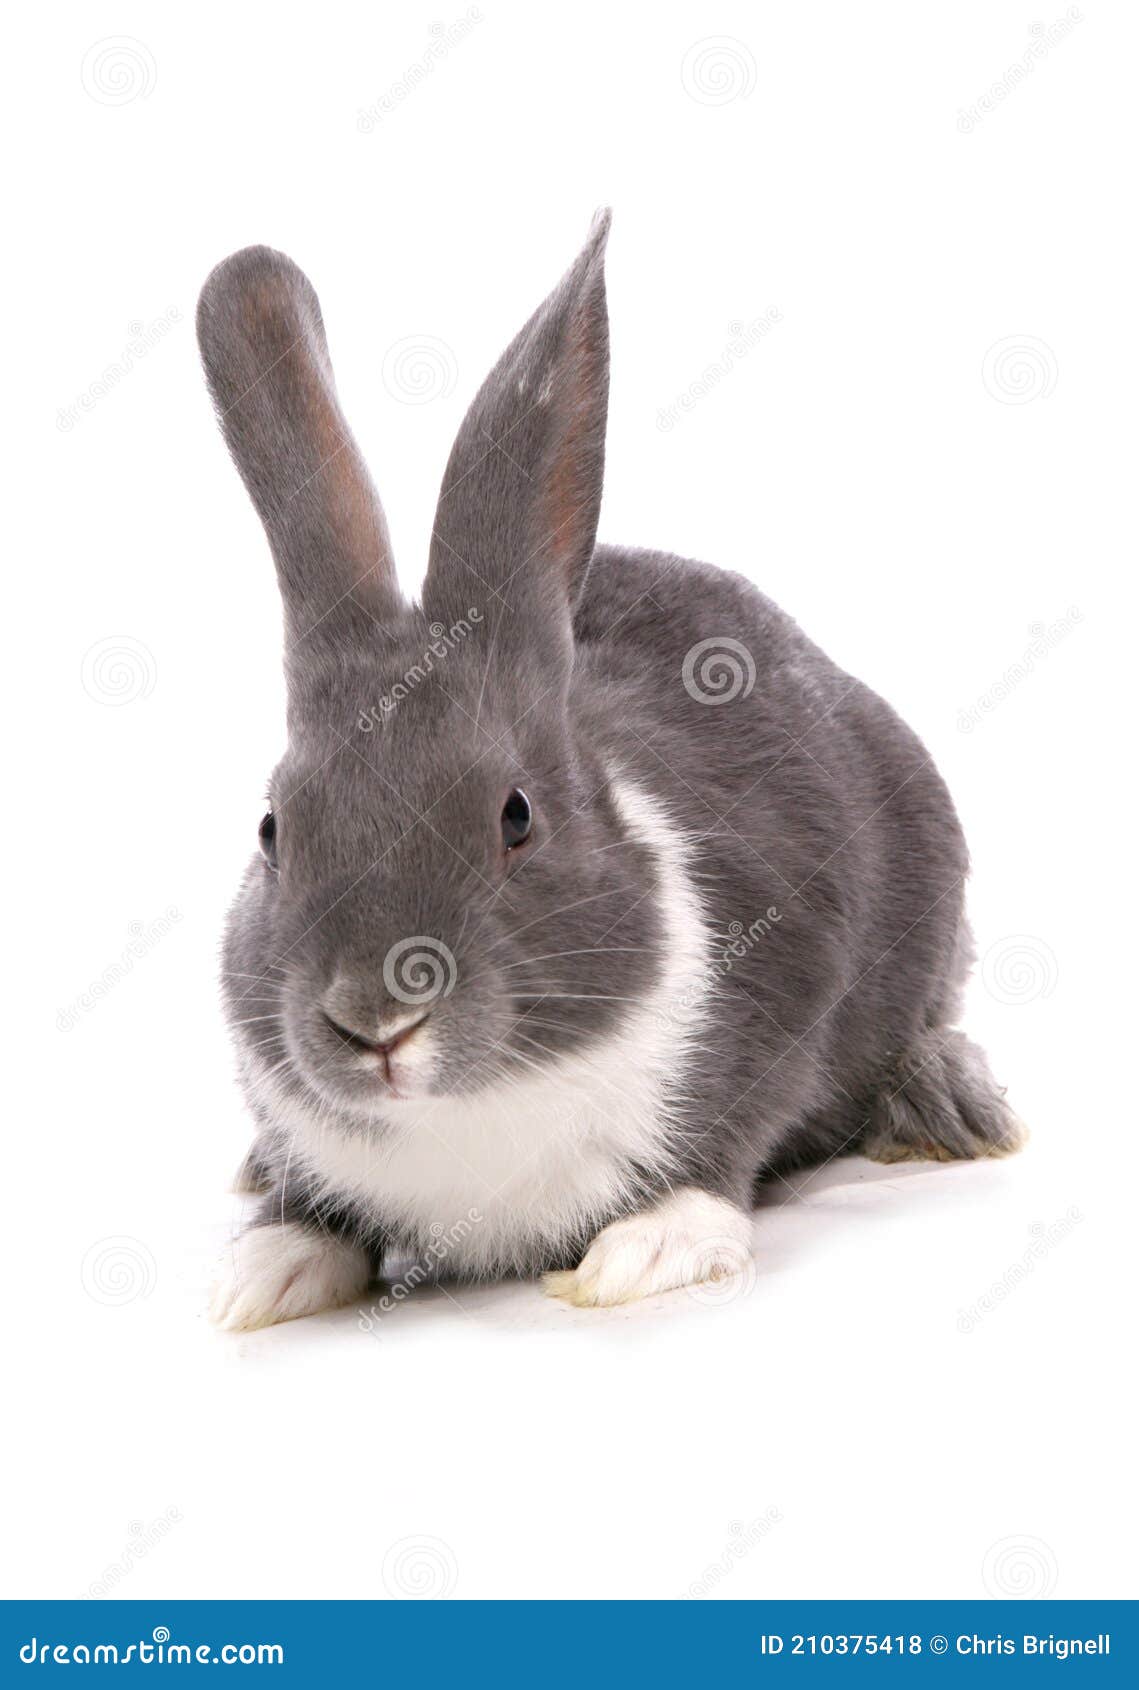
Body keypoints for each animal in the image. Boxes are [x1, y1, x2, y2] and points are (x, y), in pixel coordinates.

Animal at [198, 210, 1022, 1331]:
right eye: (273, 829)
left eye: (516, 815)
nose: (375, 1018)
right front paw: (263, 1267)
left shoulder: (787, 981)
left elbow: (722, 1145)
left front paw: (646, 1248)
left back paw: (948, 1103)